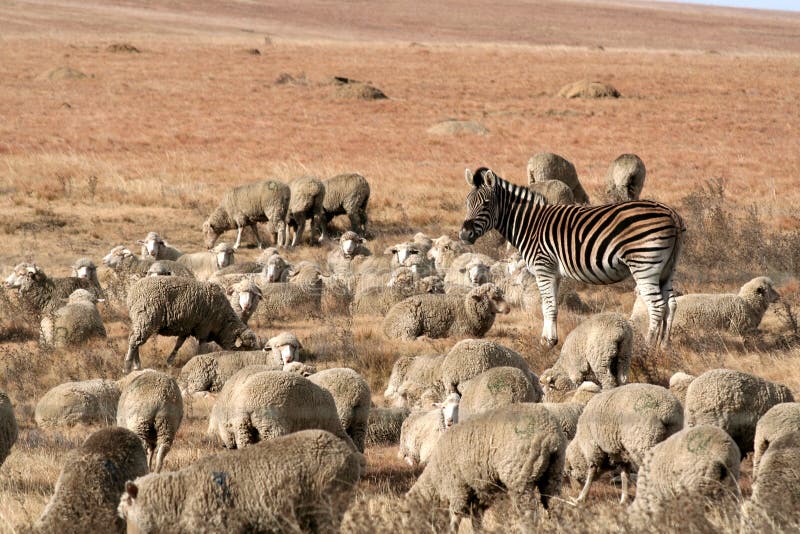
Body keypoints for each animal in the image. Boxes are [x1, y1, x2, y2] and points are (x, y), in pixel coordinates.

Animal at [459, 167, 685, 347]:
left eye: (486, 203)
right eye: (467, 202)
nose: (464, 234)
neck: (530, 225)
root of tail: (669, 212)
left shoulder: (543, 268)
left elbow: (548, 306)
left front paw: (548, 343)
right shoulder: (554, 273)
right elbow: (549, 305)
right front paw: (548, 339)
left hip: (644, 264)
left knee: (656, 306)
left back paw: (647, 347)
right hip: (667, 267)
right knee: (671, 304)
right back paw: (664, 347)